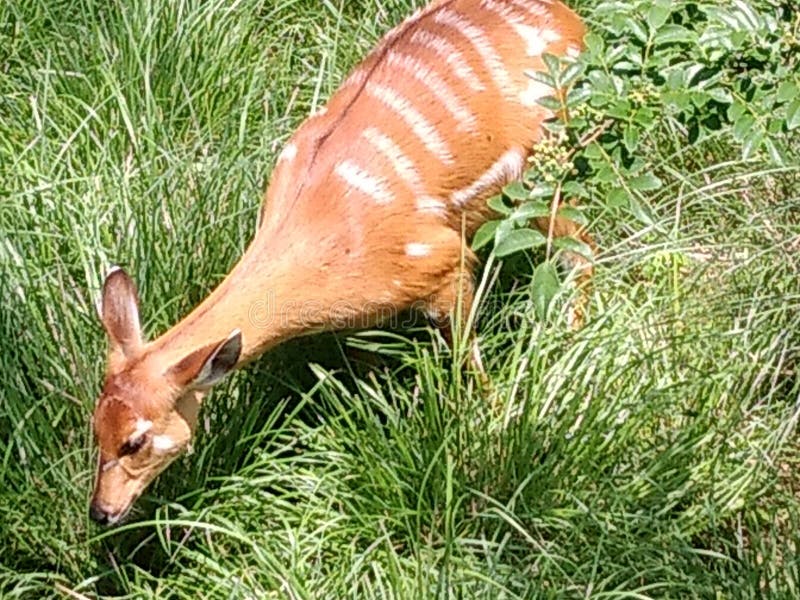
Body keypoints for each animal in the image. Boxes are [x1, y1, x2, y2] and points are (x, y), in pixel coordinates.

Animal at [89, 0, 590, 525]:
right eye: (95, 428)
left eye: (135, 440)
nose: (101, 512)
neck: (320, 248)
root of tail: (572, 21)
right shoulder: (362, 315)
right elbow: (368, 370)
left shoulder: (444, 261)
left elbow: (465, 355)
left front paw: (491, 421)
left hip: (543, 171)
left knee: (581, 249)